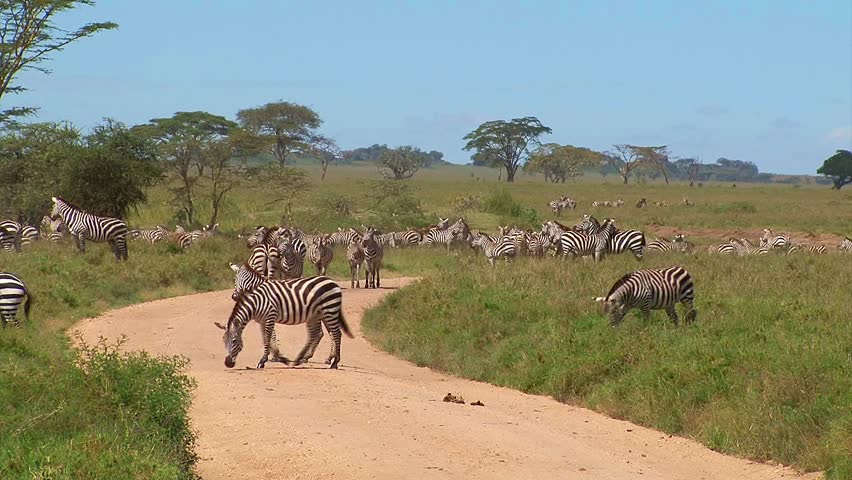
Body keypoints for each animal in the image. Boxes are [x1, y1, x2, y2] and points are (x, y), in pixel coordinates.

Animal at [214, 276, 352, 369]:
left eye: (234, 341)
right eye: (223, 341)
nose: (228, 363)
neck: (256, 303)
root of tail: (332, 281)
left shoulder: (270, 317)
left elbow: (267, 338)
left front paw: (263, 361)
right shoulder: (262, 321)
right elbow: (266, 339)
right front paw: (278, 357)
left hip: (329, 310)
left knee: (336, 334)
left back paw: (334, 362)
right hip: (317, 314)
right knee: (316, 334)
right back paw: (299, 360)